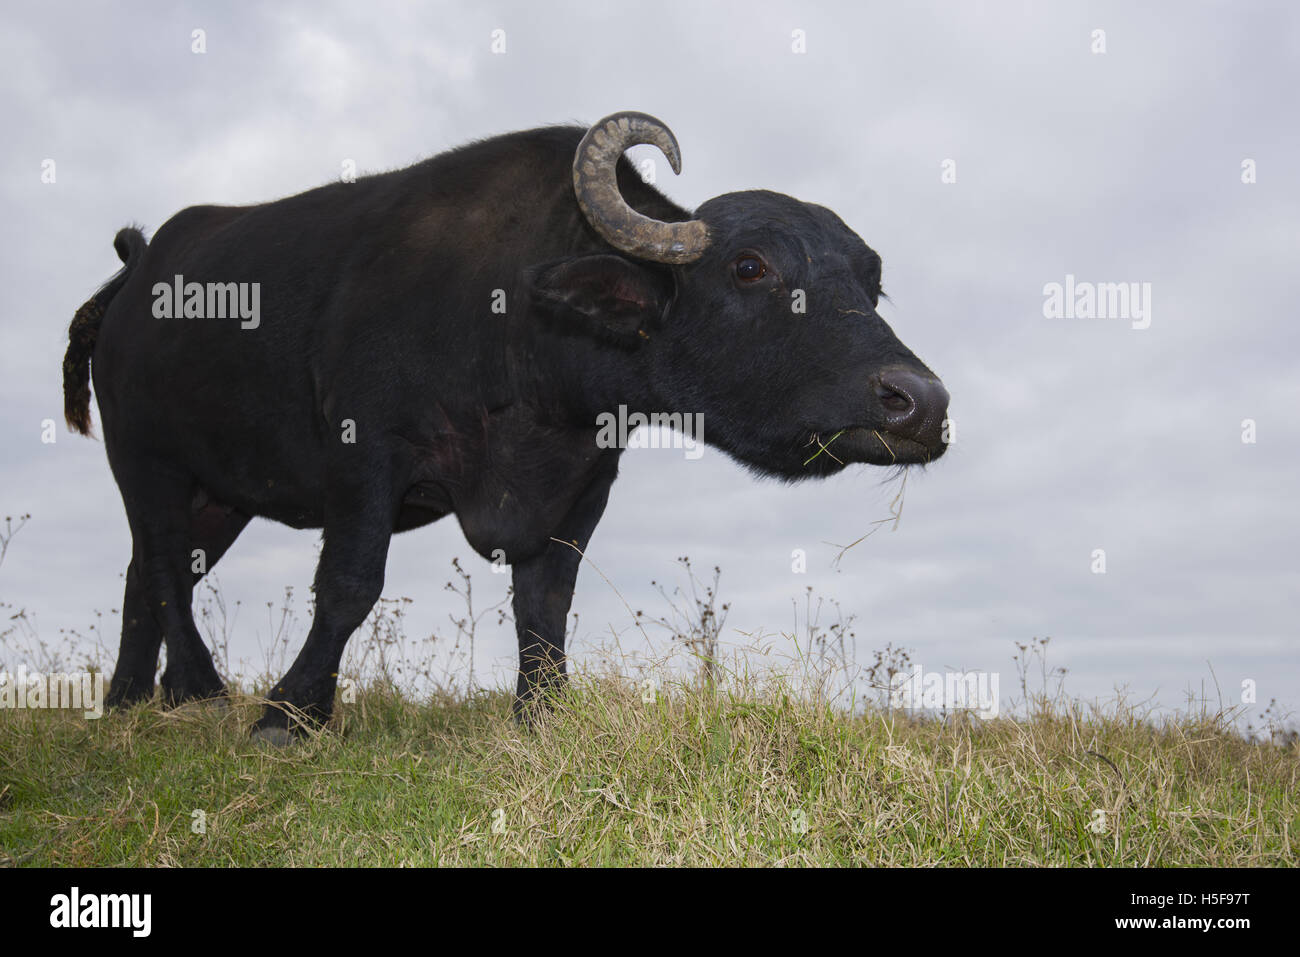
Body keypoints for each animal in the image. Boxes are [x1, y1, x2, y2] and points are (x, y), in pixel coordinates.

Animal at [63, 112, 949, 743]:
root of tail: (133, 274)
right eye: (750, 267)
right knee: (164, 568)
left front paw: (542, 715)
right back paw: (200, 692)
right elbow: (349, 584)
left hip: (221, 493)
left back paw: (128, 701)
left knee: (145, 574)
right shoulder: (366, 454)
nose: (923, 402)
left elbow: (545, 603)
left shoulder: (581, 486)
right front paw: (289, 715)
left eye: (870, 284)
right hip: (145, 459)